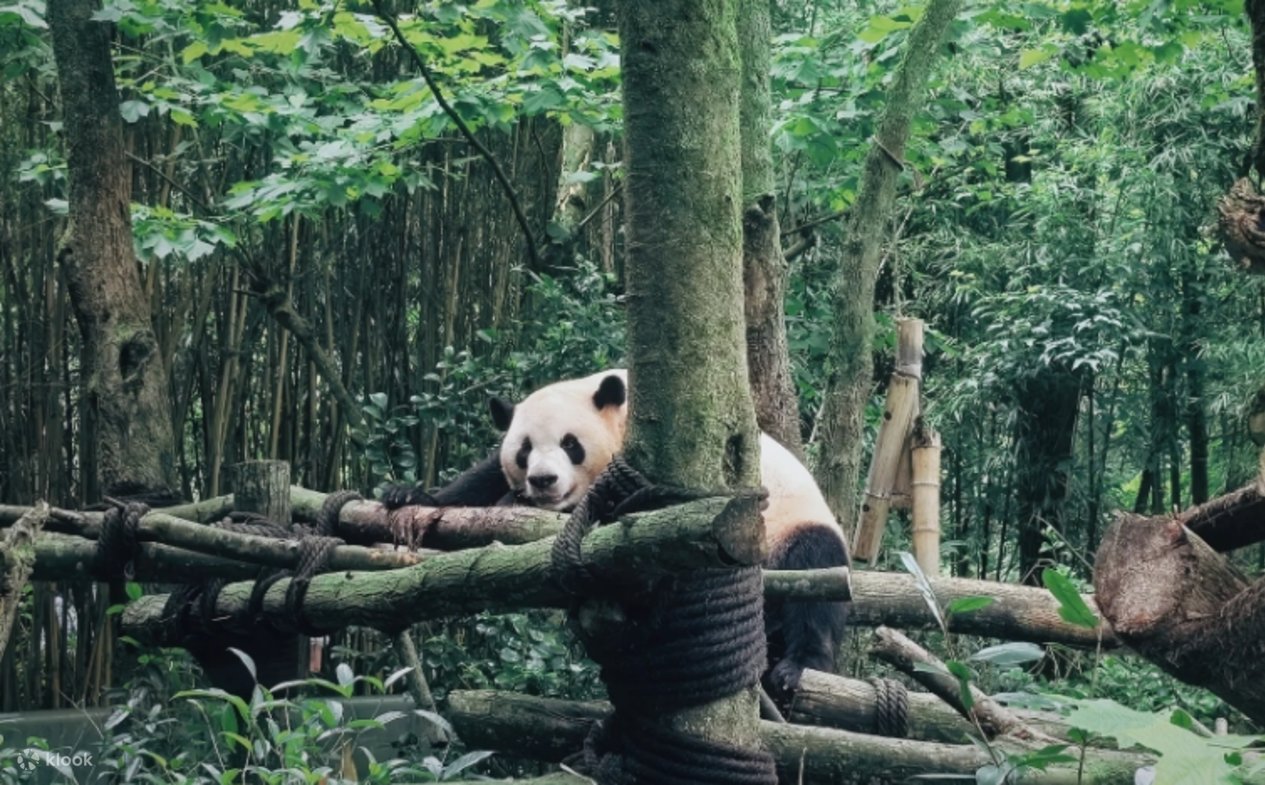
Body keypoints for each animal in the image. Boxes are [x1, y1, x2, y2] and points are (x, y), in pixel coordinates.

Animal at [383, 369, 850, 698]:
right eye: (525, 450)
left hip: (788, 528)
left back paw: (797, 668)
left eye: (570, 444)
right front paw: (409, 494)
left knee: (815, 576)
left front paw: (511, 503)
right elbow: (479, 481)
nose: (544, 481)